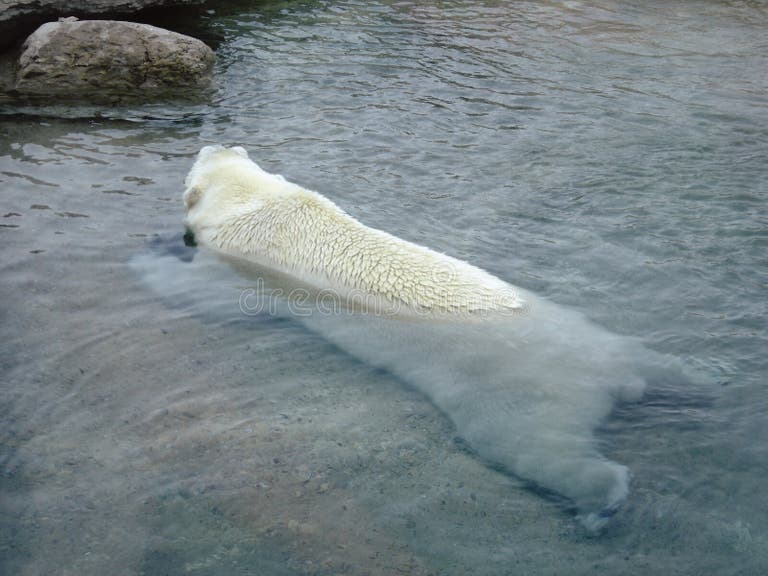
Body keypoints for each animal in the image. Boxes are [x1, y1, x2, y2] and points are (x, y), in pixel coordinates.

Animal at [181, 145, 648, 530]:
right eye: (224, 147)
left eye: (197, 161)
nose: (207, 141)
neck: (261, 202)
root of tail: (615, 371)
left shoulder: (242, 260)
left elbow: (211, 296)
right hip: (593, 335)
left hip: (517, 391)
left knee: (528, 446)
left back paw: (601, 504)